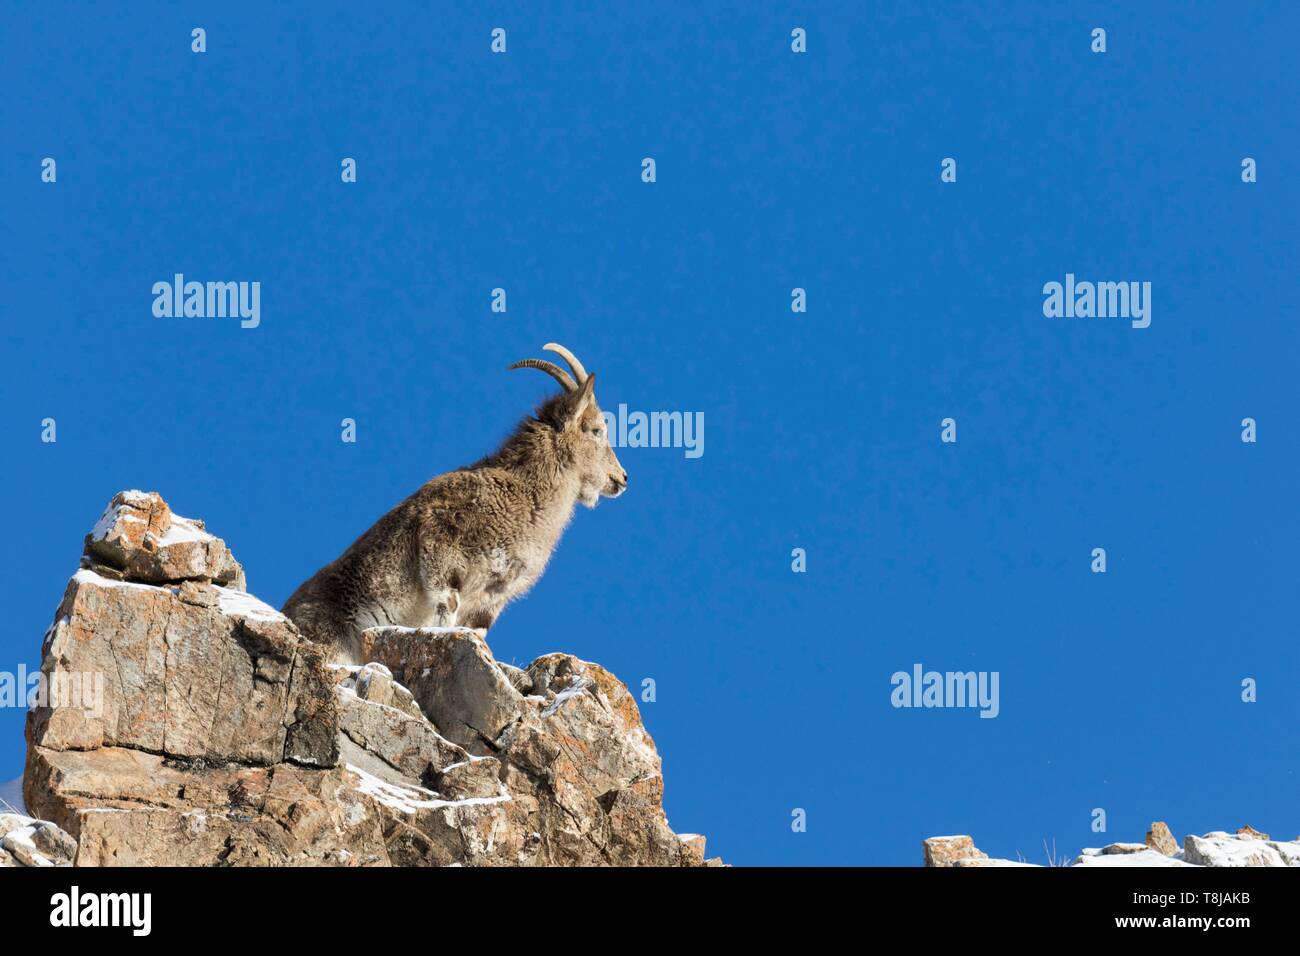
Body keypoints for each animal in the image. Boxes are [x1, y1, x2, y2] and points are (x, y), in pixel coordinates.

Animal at [282, 344, 628, 664]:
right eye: (597, 429)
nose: (621, 478)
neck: (522, 495)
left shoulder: (494, 596)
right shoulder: (441, 551)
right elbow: (446, 607)